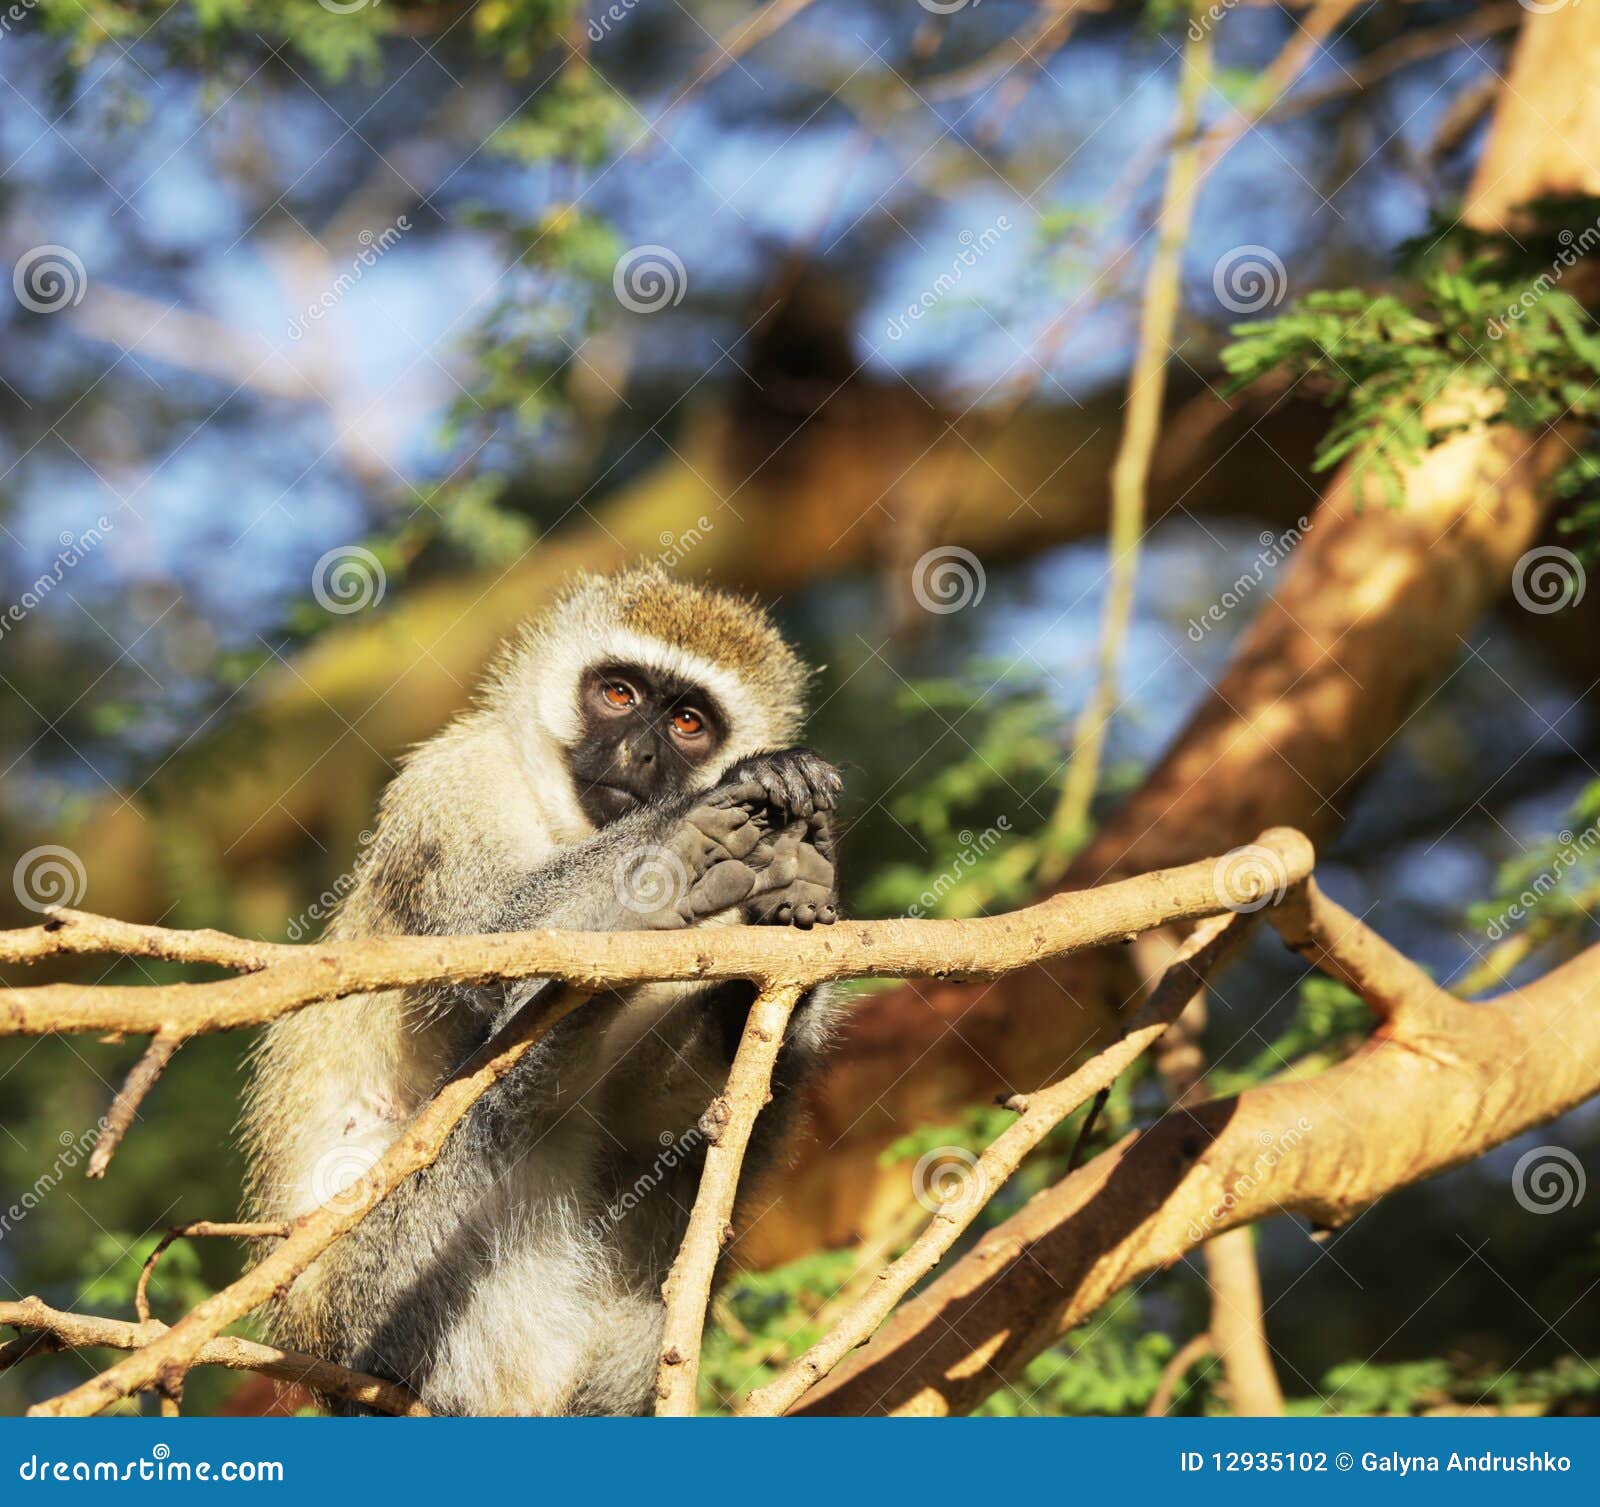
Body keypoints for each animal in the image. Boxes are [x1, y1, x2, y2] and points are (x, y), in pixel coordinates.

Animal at [242, 566, 842, 1416]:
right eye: (619, 692)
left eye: (689, 721)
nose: (637, 749)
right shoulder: (453, 784)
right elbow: (497, 944)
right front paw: (688, 833)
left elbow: (669, 1117)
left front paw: (785, 912)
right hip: (381, 1302)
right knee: (501, 1096)